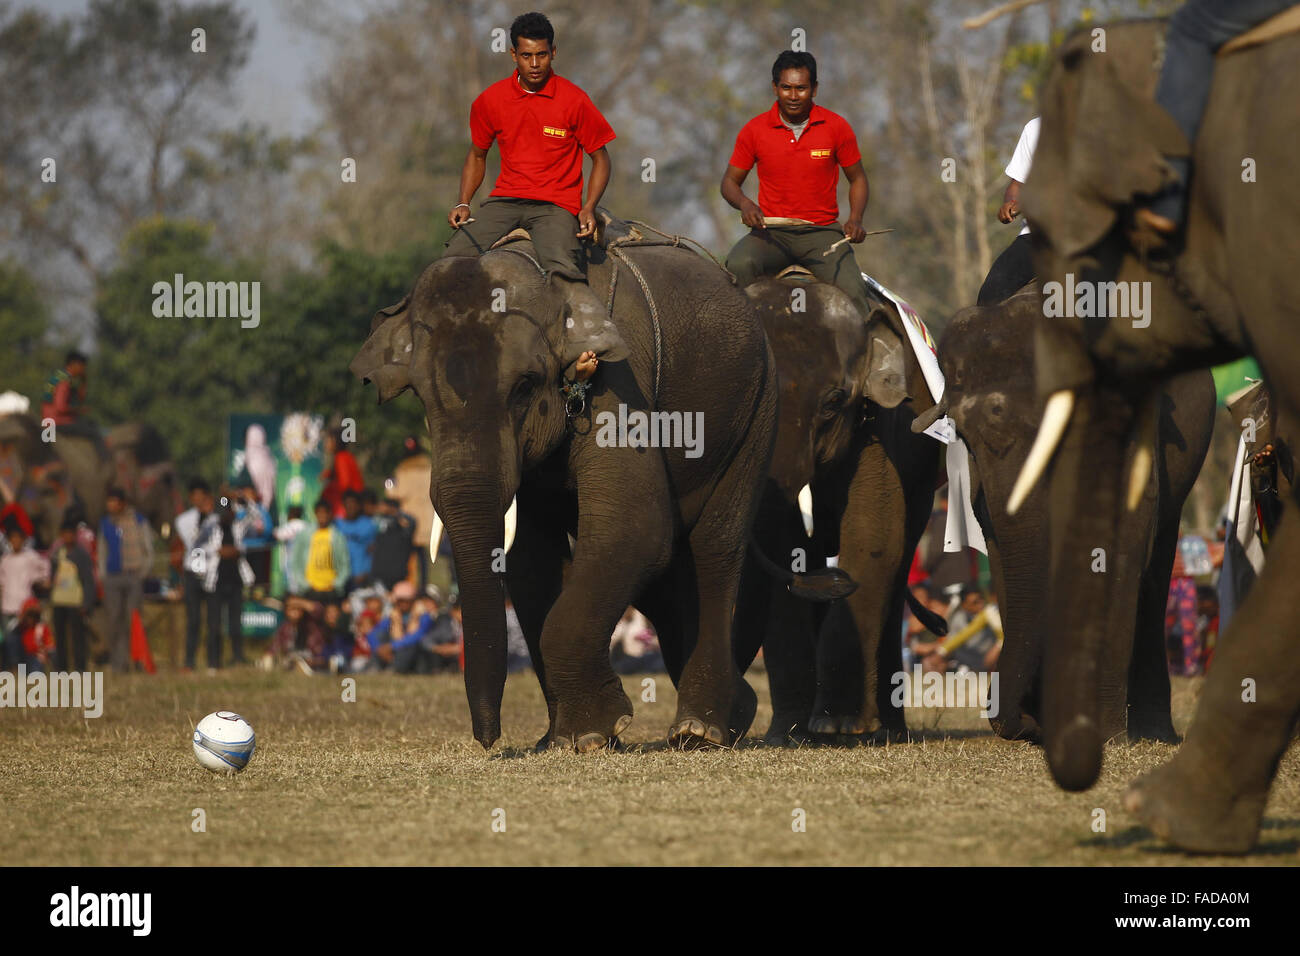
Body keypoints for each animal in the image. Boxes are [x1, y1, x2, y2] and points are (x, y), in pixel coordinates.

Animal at [351, 223, 852, 751]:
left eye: (525, 386)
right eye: (420, 395)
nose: (489, 743)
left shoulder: (619, 383)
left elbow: (634, 528)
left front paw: (593, 733)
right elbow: (531, 561)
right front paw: (559, 740)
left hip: (756, 414)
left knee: (715, 550)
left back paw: (700, 730)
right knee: (667, 583)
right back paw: (737, 712)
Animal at [731, 269, 946, 742]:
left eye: (833, 401)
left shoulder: (880, 428)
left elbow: (872, 535)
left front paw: (839, 724)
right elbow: (786, 551)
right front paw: (789, 736)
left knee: (898, 563)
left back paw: (884, 731)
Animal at [913, 286, 1214, 744]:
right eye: (962, 434)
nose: (1022, 722)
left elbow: (1119, 541)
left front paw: (1104, 734)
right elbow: (1003, 552)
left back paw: (1153, 731)